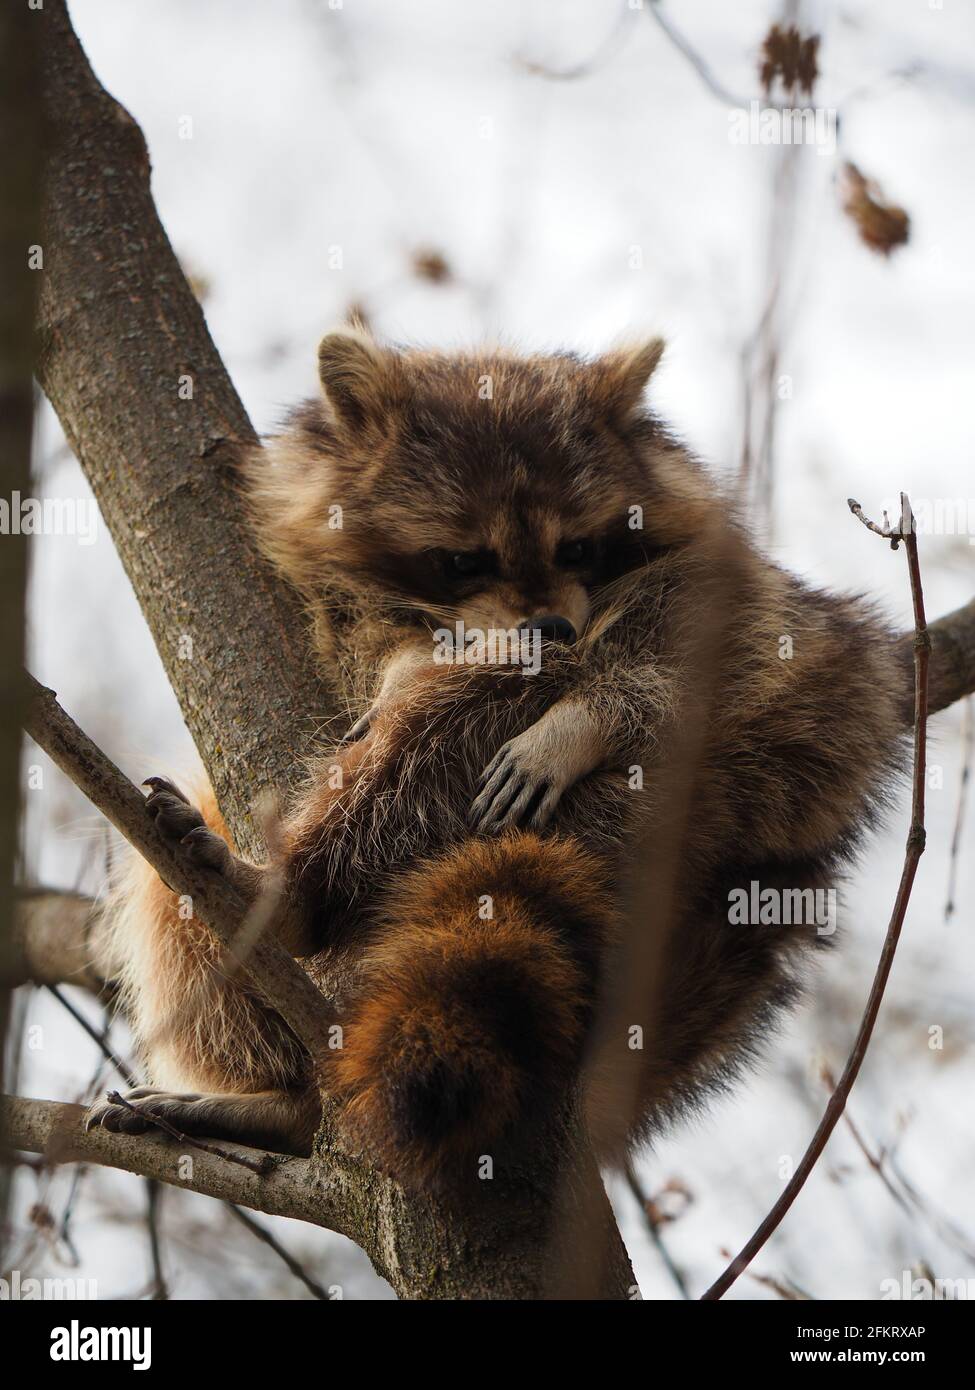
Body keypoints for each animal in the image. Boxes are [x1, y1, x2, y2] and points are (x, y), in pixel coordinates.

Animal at [88, 330, 904, 1187]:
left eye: (577, 546)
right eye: (461, 560)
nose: (552, 624)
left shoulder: (741, 593)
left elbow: (707, 619)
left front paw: (580, 715)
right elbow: (370, 642)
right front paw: (403, 663)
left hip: (780, 744)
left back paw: (299, 898)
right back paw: (284, 1087)